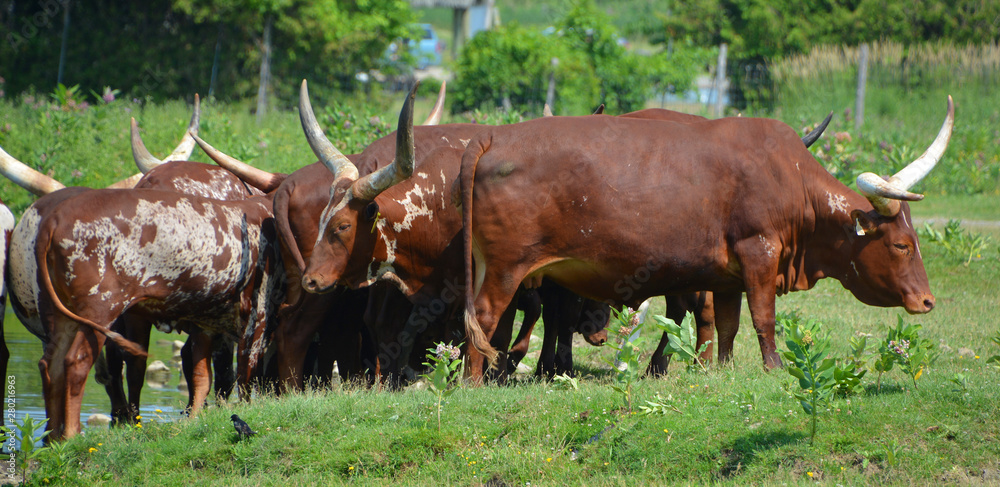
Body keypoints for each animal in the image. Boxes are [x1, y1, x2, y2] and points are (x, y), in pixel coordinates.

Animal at [454, 97, 953, 380]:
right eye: (901, 245)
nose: (928, 301)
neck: (788, 178)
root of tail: (494, 139)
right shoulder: (759, 252)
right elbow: (764, 318)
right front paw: (774, 369)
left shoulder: (728, 276)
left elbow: (728, 323)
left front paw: (722, 368)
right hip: (505, 270)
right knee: (485, 318)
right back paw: (475, 381)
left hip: (490, 268)